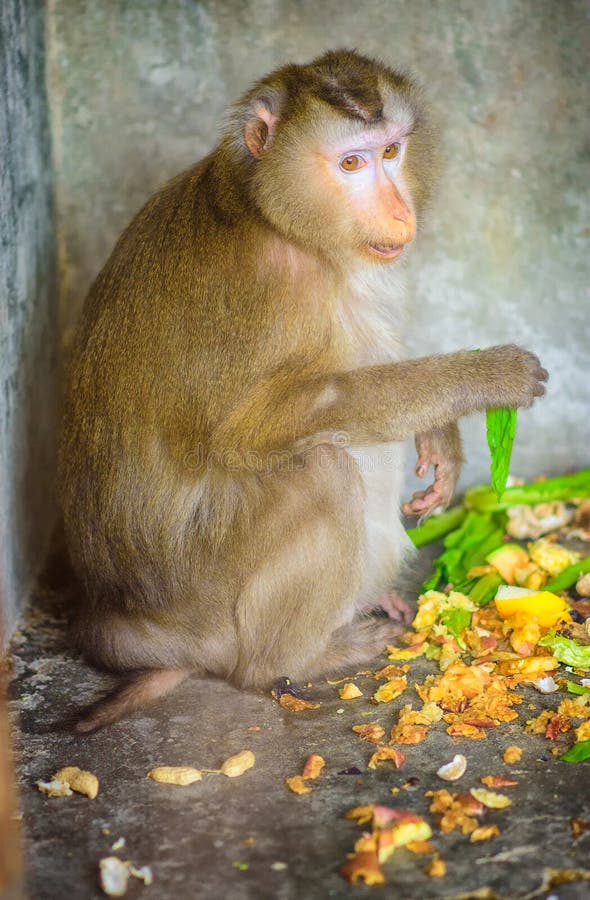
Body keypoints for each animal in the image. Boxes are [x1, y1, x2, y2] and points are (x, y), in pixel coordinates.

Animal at [58, 49, 547, 732]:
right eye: (351, 164)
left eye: (391, 151)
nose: (399, 213)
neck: (274, 214)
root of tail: (130, 626)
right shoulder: (275, 291)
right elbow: (248, 432)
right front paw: (481, 380)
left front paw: (441, 433)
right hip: (208, 605)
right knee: (321, 470)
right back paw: (291, 660)